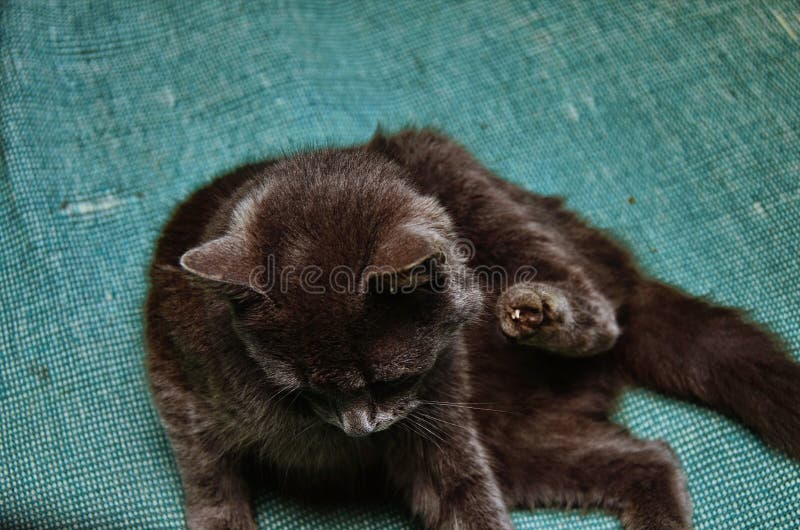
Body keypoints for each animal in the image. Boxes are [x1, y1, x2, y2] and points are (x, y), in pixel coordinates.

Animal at [145, 129, 800, 528]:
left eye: (390, 381)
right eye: (305, 389)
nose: (360, 428)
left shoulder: (441, 407)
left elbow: (464, 494)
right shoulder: (179, 383)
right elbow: (207, 475)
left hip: (470, 182)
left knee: (602, 316)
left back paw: (537, 312)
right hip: (520, 444)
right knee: (650, 459)